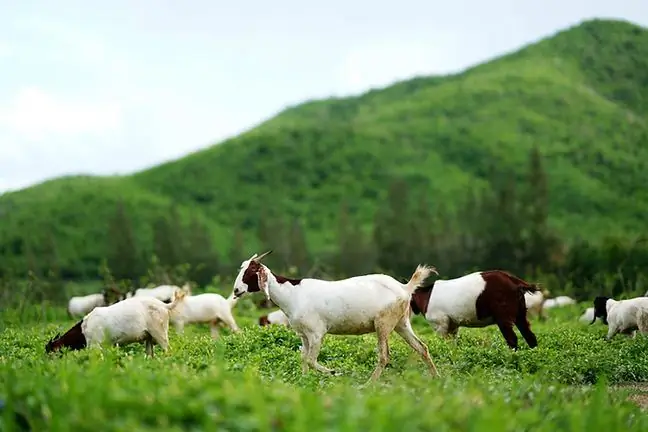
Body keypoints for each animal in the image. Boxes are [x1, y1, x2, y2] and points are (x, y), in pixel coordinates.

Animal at [45, 288, 187, 356]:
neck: (83, 330)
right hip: (149, 337)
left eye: (51, 352)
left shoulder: (95, 345)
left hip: (160, 333)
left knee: (167, 350)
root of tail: (165, 305)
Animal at [230, 250, 438, 384]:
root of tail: (405, 288)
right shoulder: (303, 335)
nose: (237, 290)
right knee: (422, 347)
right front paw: (304, 381)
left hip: (383, 323)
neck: (292, 294)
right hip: (401, 323)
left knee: (384, 356)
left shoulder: (316, 333)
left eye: (250, 271)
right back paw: (436, 378)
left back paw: (369, 384)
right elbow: (303, 358)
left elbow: (311, 360)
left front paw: (334, 372)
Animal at [410, 270, 540, 352]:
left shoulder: (440, 325)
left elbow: (444, 343)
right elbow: (452, 344)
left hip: (503, 316)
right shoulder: (453, 326)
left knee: (512, 338)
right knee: (529, 335)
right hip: (520, 314)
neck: (426, 296)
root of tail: (514, 281)